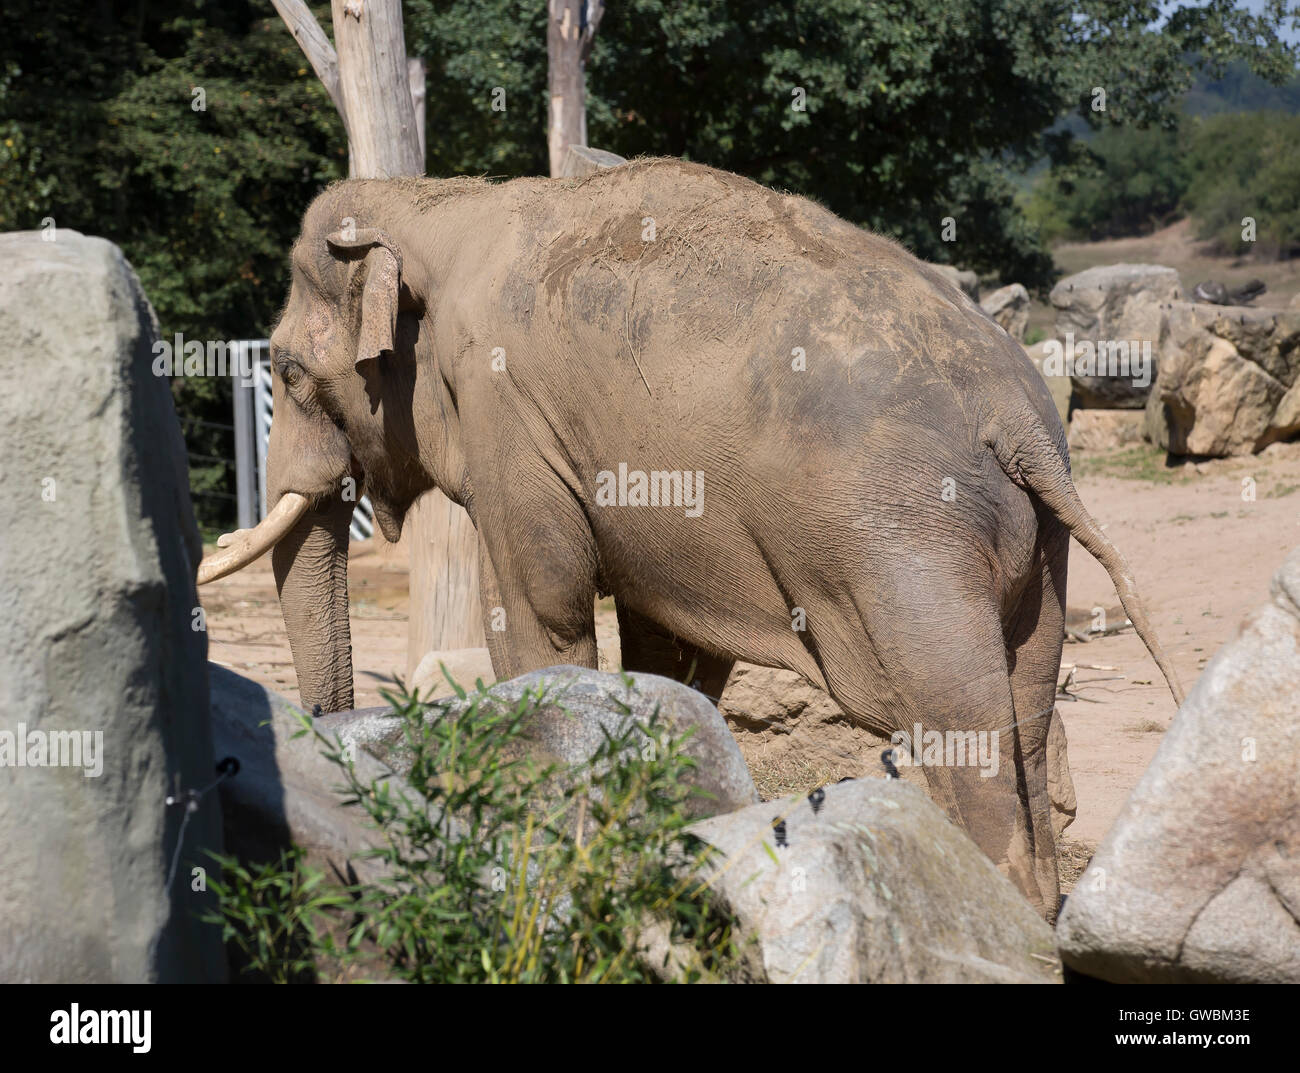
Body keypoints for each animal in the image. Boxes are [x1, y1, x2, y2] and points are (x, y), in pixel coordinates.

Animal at [198, 158, 1184, 918]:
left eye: (289, 370)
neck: (440, 202)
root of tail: (1017, 417)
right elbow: (666, 648)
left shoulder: (506, 413)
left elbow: (540, 604)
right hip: (1034, 545)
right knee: (1026, 703)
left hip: (905, 534)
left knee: (954, 710)